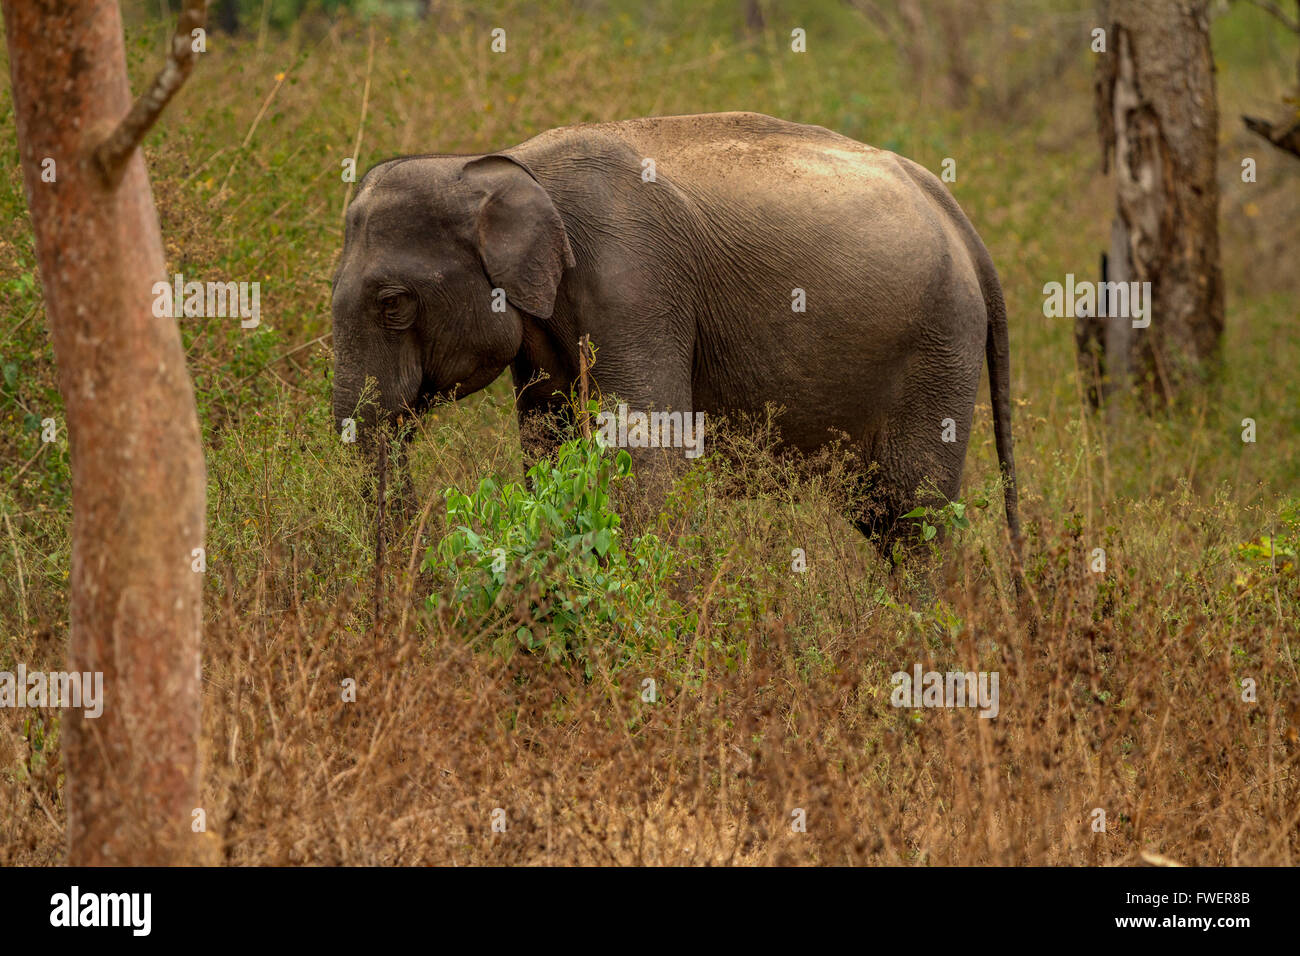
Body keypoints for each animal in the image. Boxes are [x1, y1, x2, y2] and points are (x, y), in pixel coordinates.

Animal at [331, 111, 1020, 553]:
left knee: (910, 511)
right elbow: (551, 449)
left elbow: (646, 460)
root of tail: (961, 221)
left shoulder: (634, 283)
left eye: (393, 304)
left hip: (940, 345)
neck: (500, 166)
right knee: (876, 515)